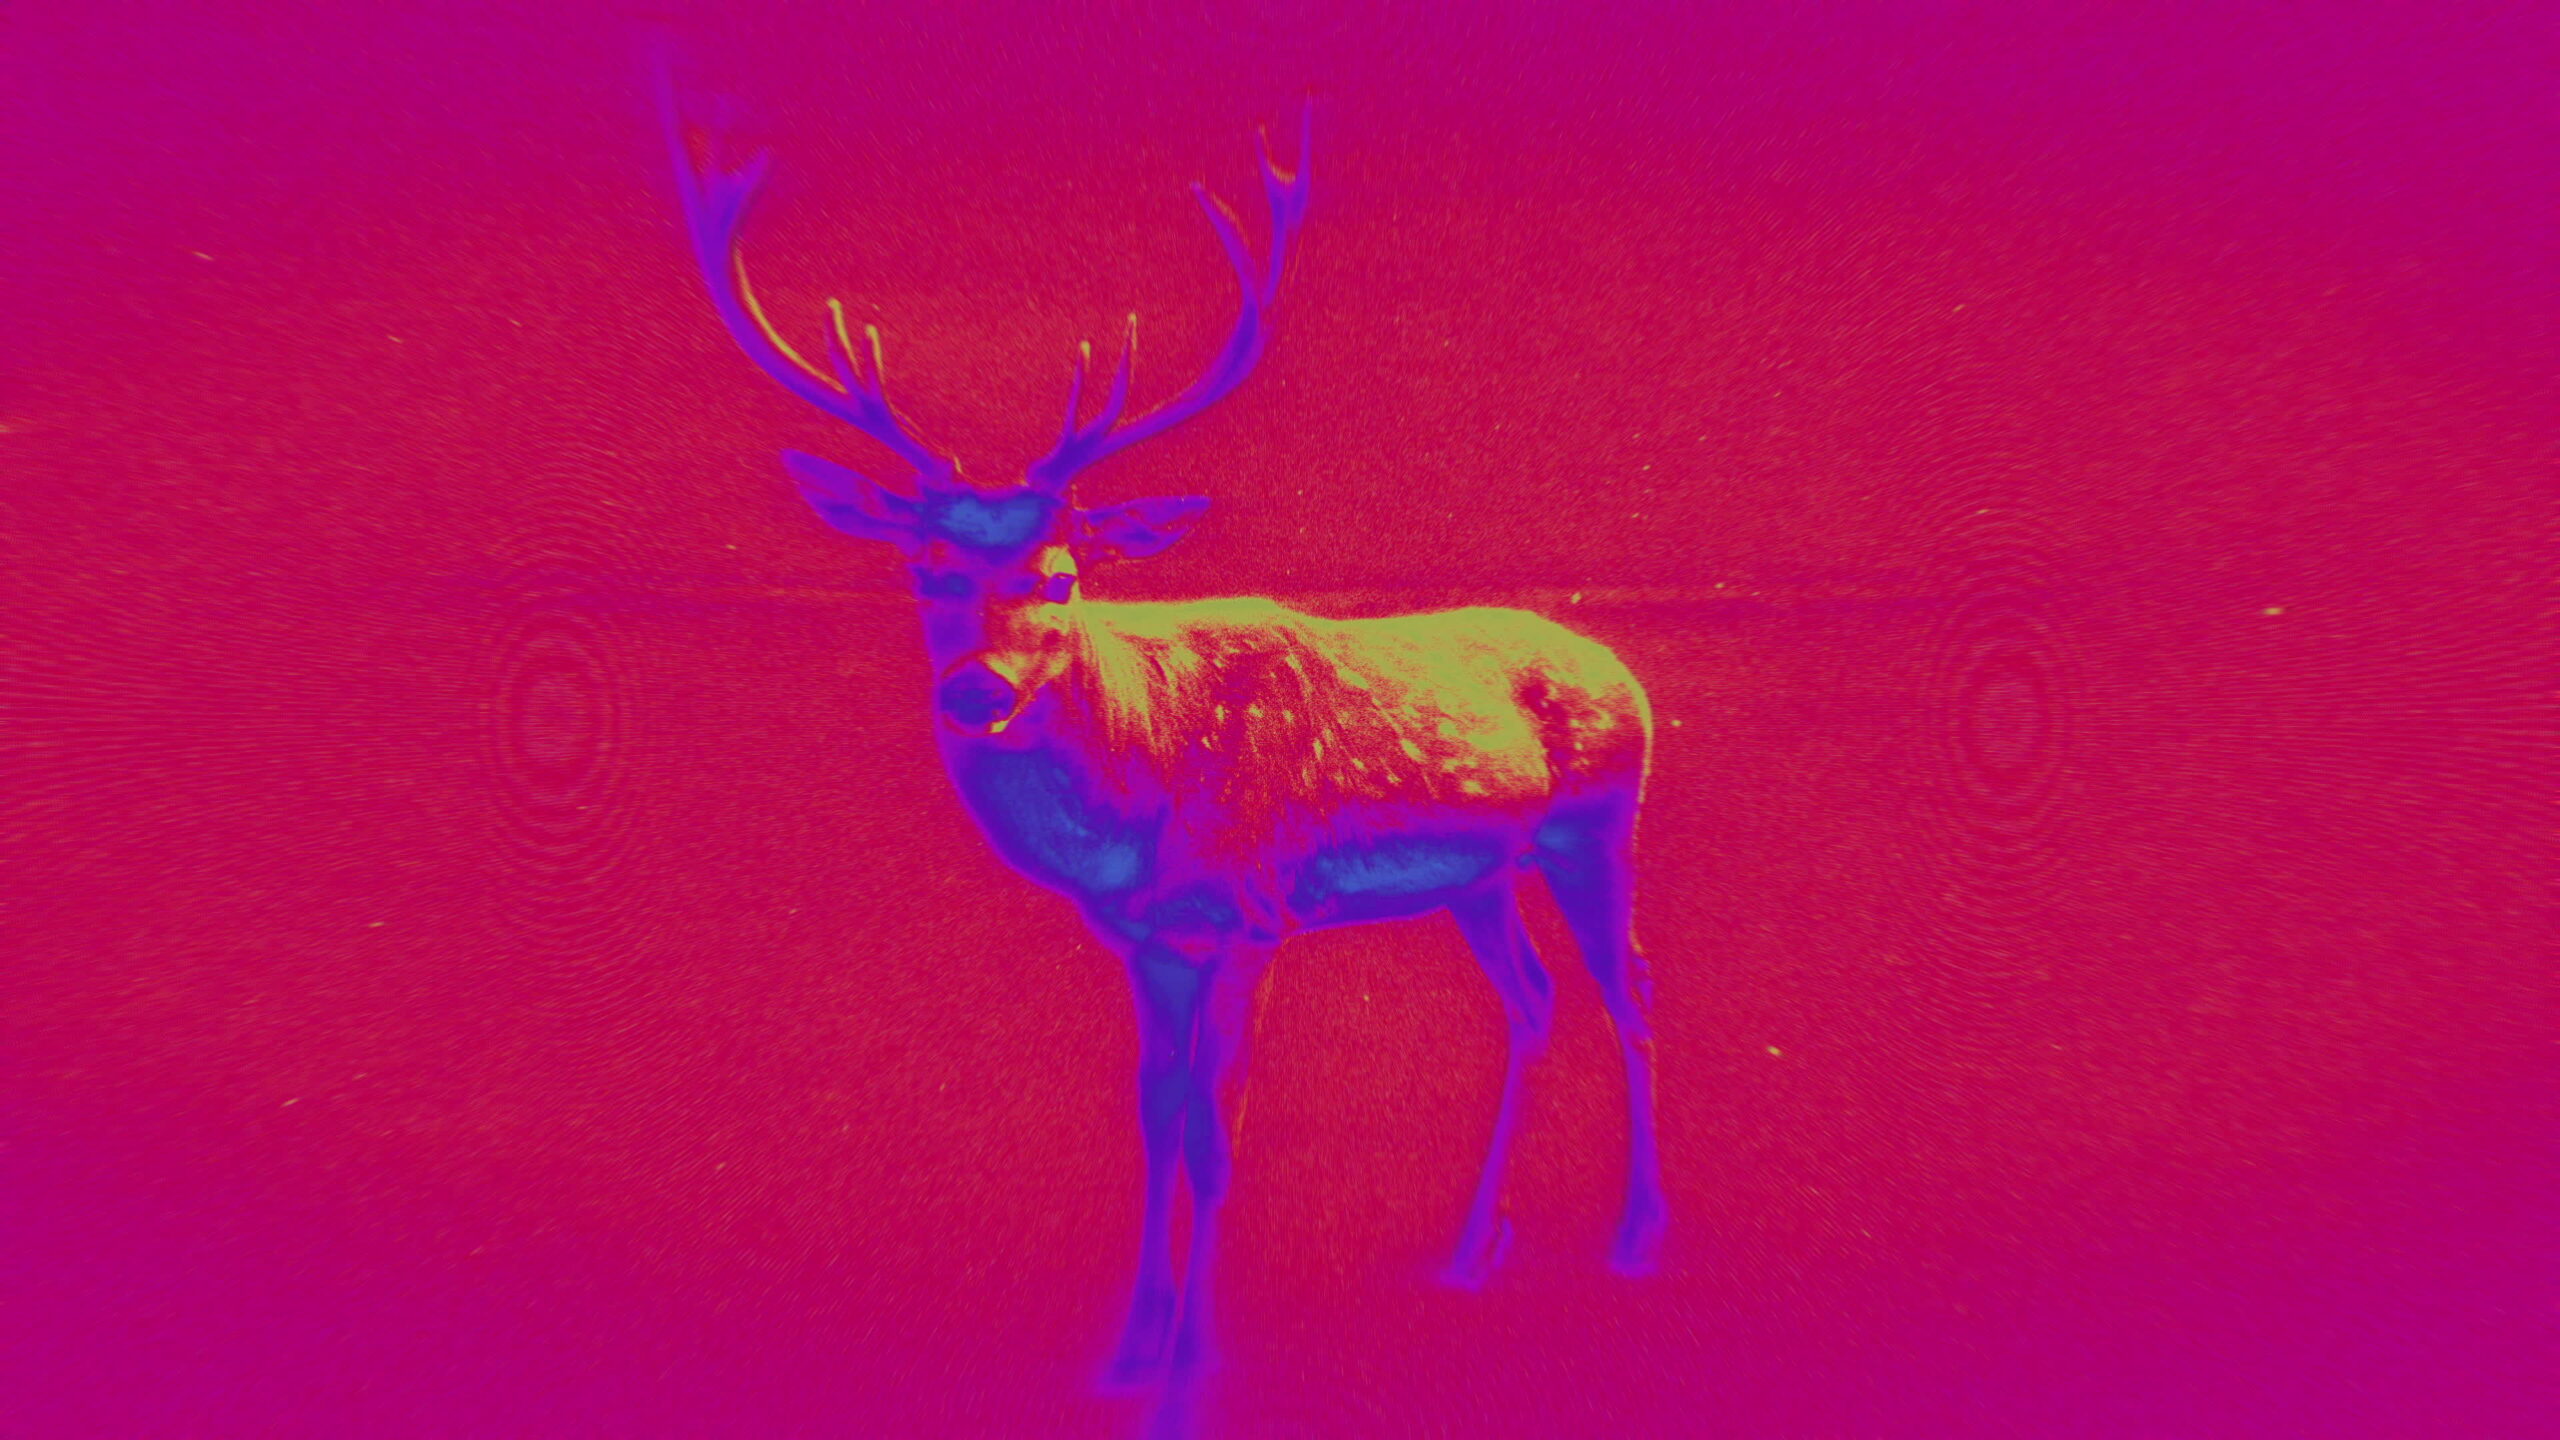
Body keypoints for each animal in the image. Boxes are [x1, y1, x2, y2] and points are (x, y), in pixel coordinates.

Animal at [662, 94, 1665, 1396]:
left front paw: (1194, 1364)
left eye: (1060, 572)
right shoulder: (1145, 941)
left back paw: (1636, 1238)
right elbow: (1150, 1122)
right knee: (1534, 999)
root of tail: (1625, 669)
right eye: (924, 564)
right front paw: (1126, 1350)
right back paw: (1467, 1252)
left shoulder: (1250, 914)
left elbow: (1216, 1138)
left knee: (1628, 988)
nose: (976, 689)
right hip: (1479, 874)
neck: (1136, 822)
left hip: (1598, 822)